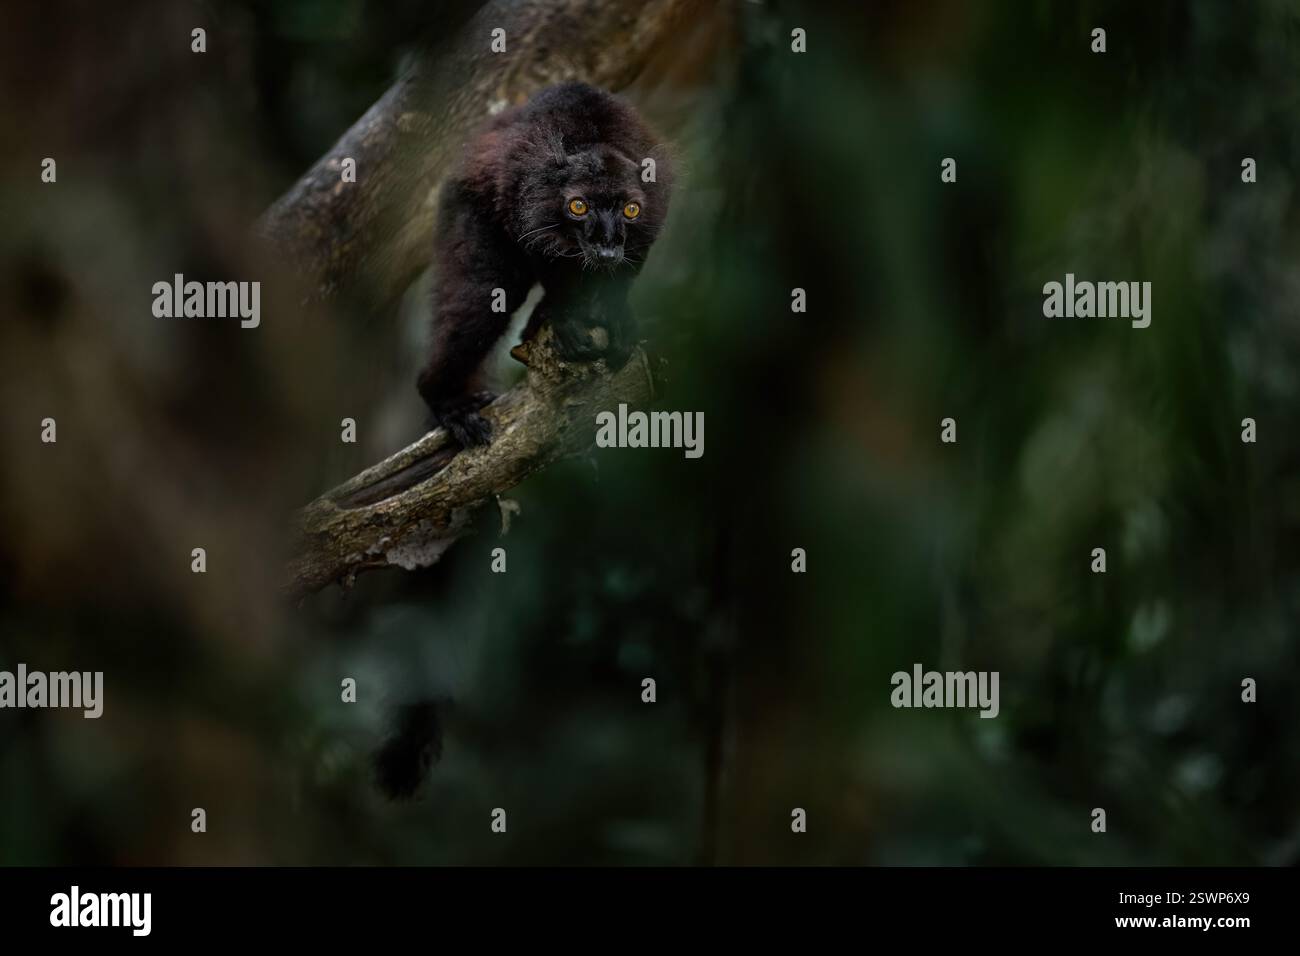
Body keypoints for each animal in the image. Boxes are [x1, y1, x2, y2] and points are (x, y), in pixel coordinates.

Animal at [416, 82, 674, 447]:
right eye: (578, 206)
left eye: (631, 210)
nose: (607, 250)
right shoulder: (522, 197)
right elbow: (539, 254)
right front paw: (566, 317)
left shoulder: (651, 213)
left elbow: (629, 264)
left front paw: (615, 315)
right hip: (466, 208)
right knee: (486, 294)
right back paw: (448, 402)